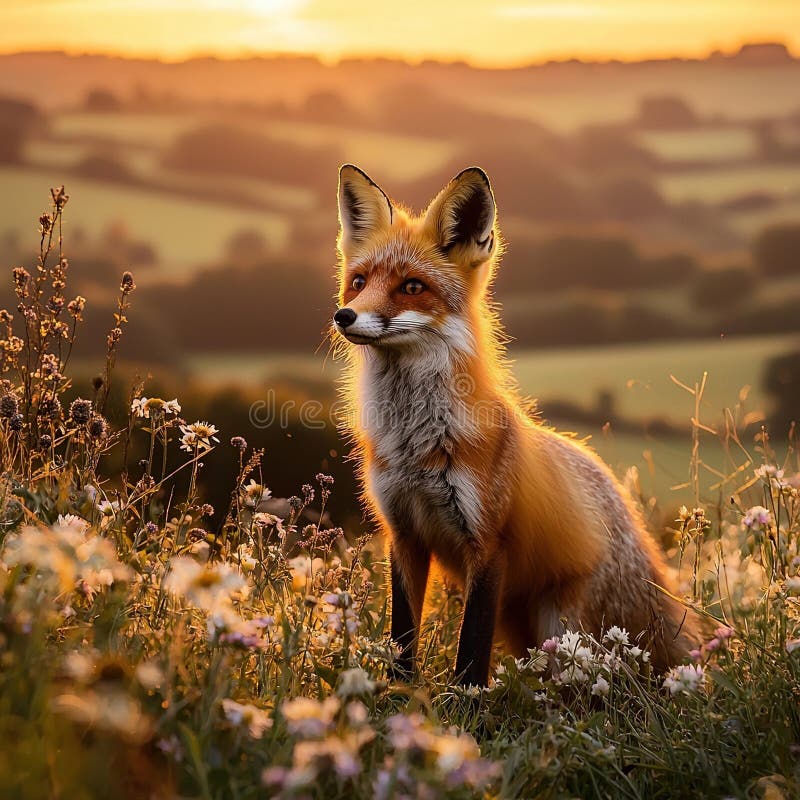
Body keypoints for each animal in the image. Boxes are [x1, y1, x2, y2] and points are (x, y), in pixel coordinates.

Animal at [332, 163, 700, 687]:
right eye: (359, 282)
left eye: (412, 287)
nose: (344, 315)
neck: (415, 443)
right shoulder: (403, 534)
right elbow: (402, 640)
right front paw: (398, 696)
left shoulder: (488, 543)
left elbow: (471, 651)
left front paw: (466, 703)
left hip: (563, 629)